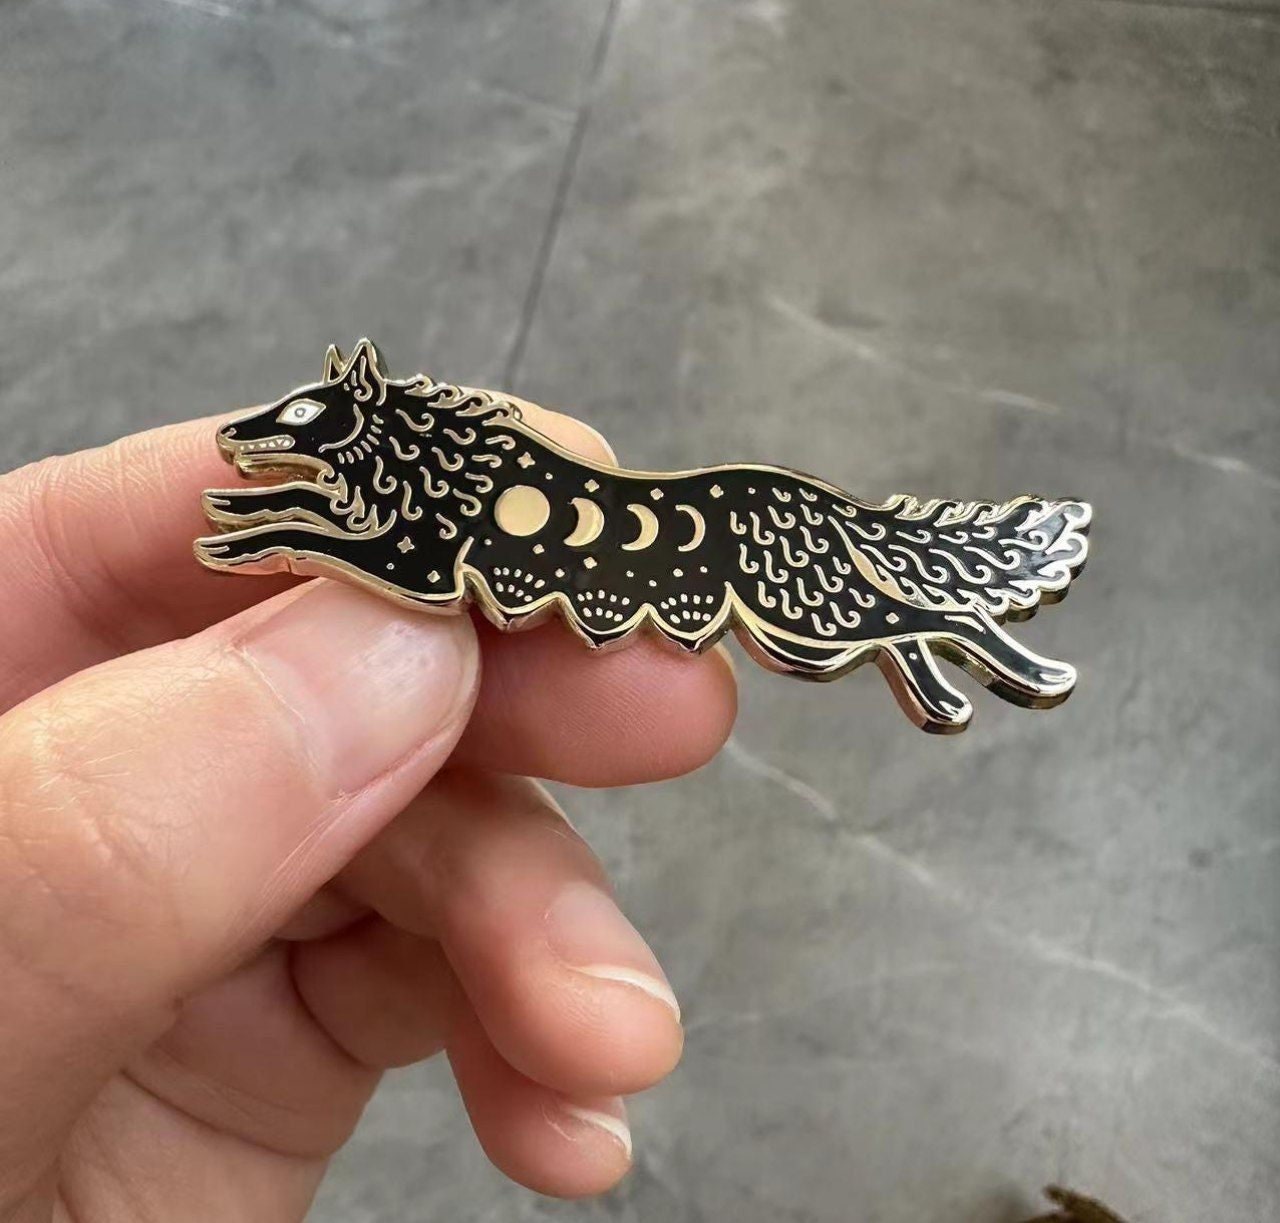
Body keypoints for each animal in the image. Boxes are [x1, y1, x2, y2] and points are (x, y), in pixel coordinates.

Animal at [196, 340, 1091, 732]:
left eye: (301, 408)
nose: (228, 432)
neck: (436, 461)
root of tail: (829, 501)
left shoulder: (419, 572)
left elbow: (309, 531)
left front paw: (238, 544)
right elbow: (304, 507)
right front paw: (227, 510)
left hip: (807, 611)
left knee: (949, 616)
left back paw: (1031, 677)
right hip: (813, 621)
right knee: (919, 630)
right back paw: (954, 699)